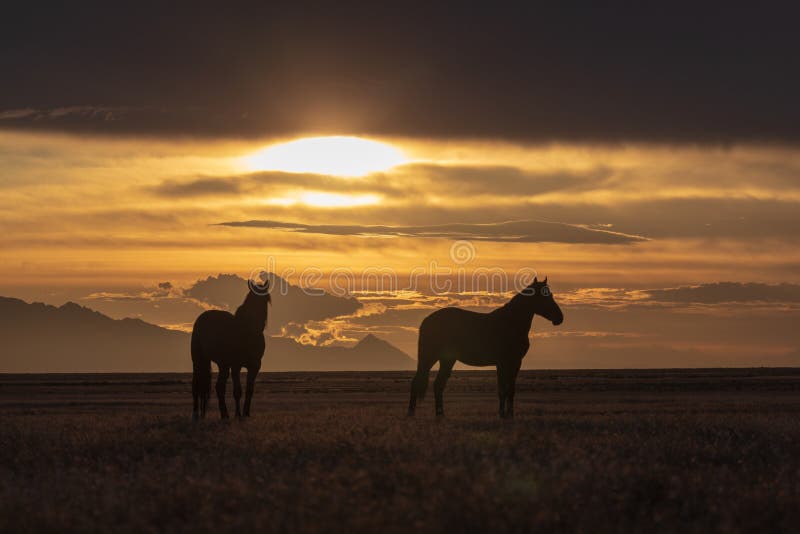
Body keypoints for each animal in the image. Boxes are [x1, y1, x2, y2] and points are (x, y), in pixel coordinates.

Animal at [191, 279, 270, 420]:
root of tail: (201, 318)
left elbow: (249, 390)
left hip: (223, 365)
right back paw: (196, 414)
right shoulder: (236, 365)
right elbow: (237, 391)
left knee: (219, 387)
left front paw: (246, 414)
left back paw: (224, 415)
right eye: (253, 298)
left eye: (266, 298)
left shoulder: (255, 366)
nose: (260, 323)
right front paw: (238, 414)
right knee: (196, 385)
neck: (248, 332)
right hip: (198, 361)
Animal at [408, 277, 563, 418]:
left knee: (438, 385)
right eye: (544, 296)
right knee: (417, 383)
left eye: (550, 294)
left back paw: (440, 415)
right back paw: (411, 414)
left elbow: (510, 390)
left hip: (447, 360)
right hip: (429, 358)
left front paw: (509, 414)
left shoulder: (514, 363)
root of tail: (427, 321)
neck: (510, 323)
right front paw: (503, 414)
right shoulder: (503, 363)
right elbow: (503, 389)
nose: (560, 318)